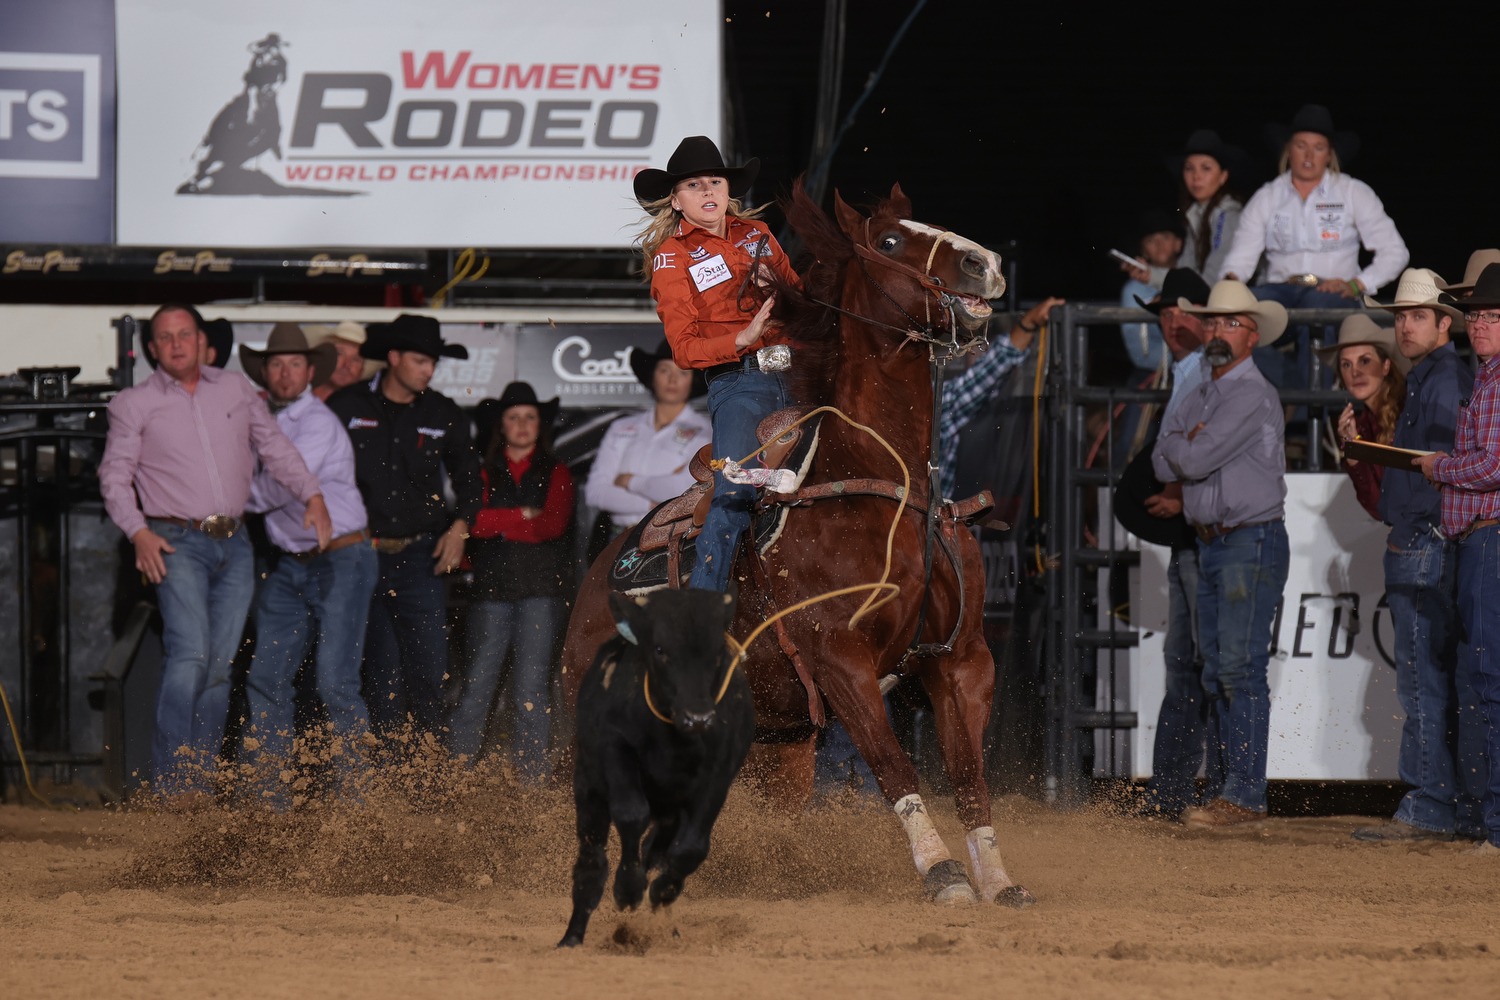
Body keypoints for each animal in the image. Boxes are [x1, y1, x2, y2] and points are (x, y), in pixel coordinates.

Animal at [561, 587, 756, 947]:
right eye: (660, 649)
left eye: (717, 653)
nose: (698, 717)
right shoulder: (616, 749)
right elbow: (631, 815)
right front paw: (628, 889)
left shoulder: (717, 775)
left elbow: (692, 847)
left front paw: (662, 890)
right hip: (588, 785)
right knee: (592, 858)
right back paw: (572, 935)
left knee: (659, 846)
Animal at [564, 179, 1032, 905]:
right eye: (889, 239)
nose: (984, 262)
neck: (881, 485)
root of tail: (601, 574)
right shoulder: (839, 658)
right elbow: (893, 765)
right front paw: (942, 872)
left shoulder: (961, 659)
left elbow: (969, 777)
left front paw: (997, 878)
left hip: (777, 743)